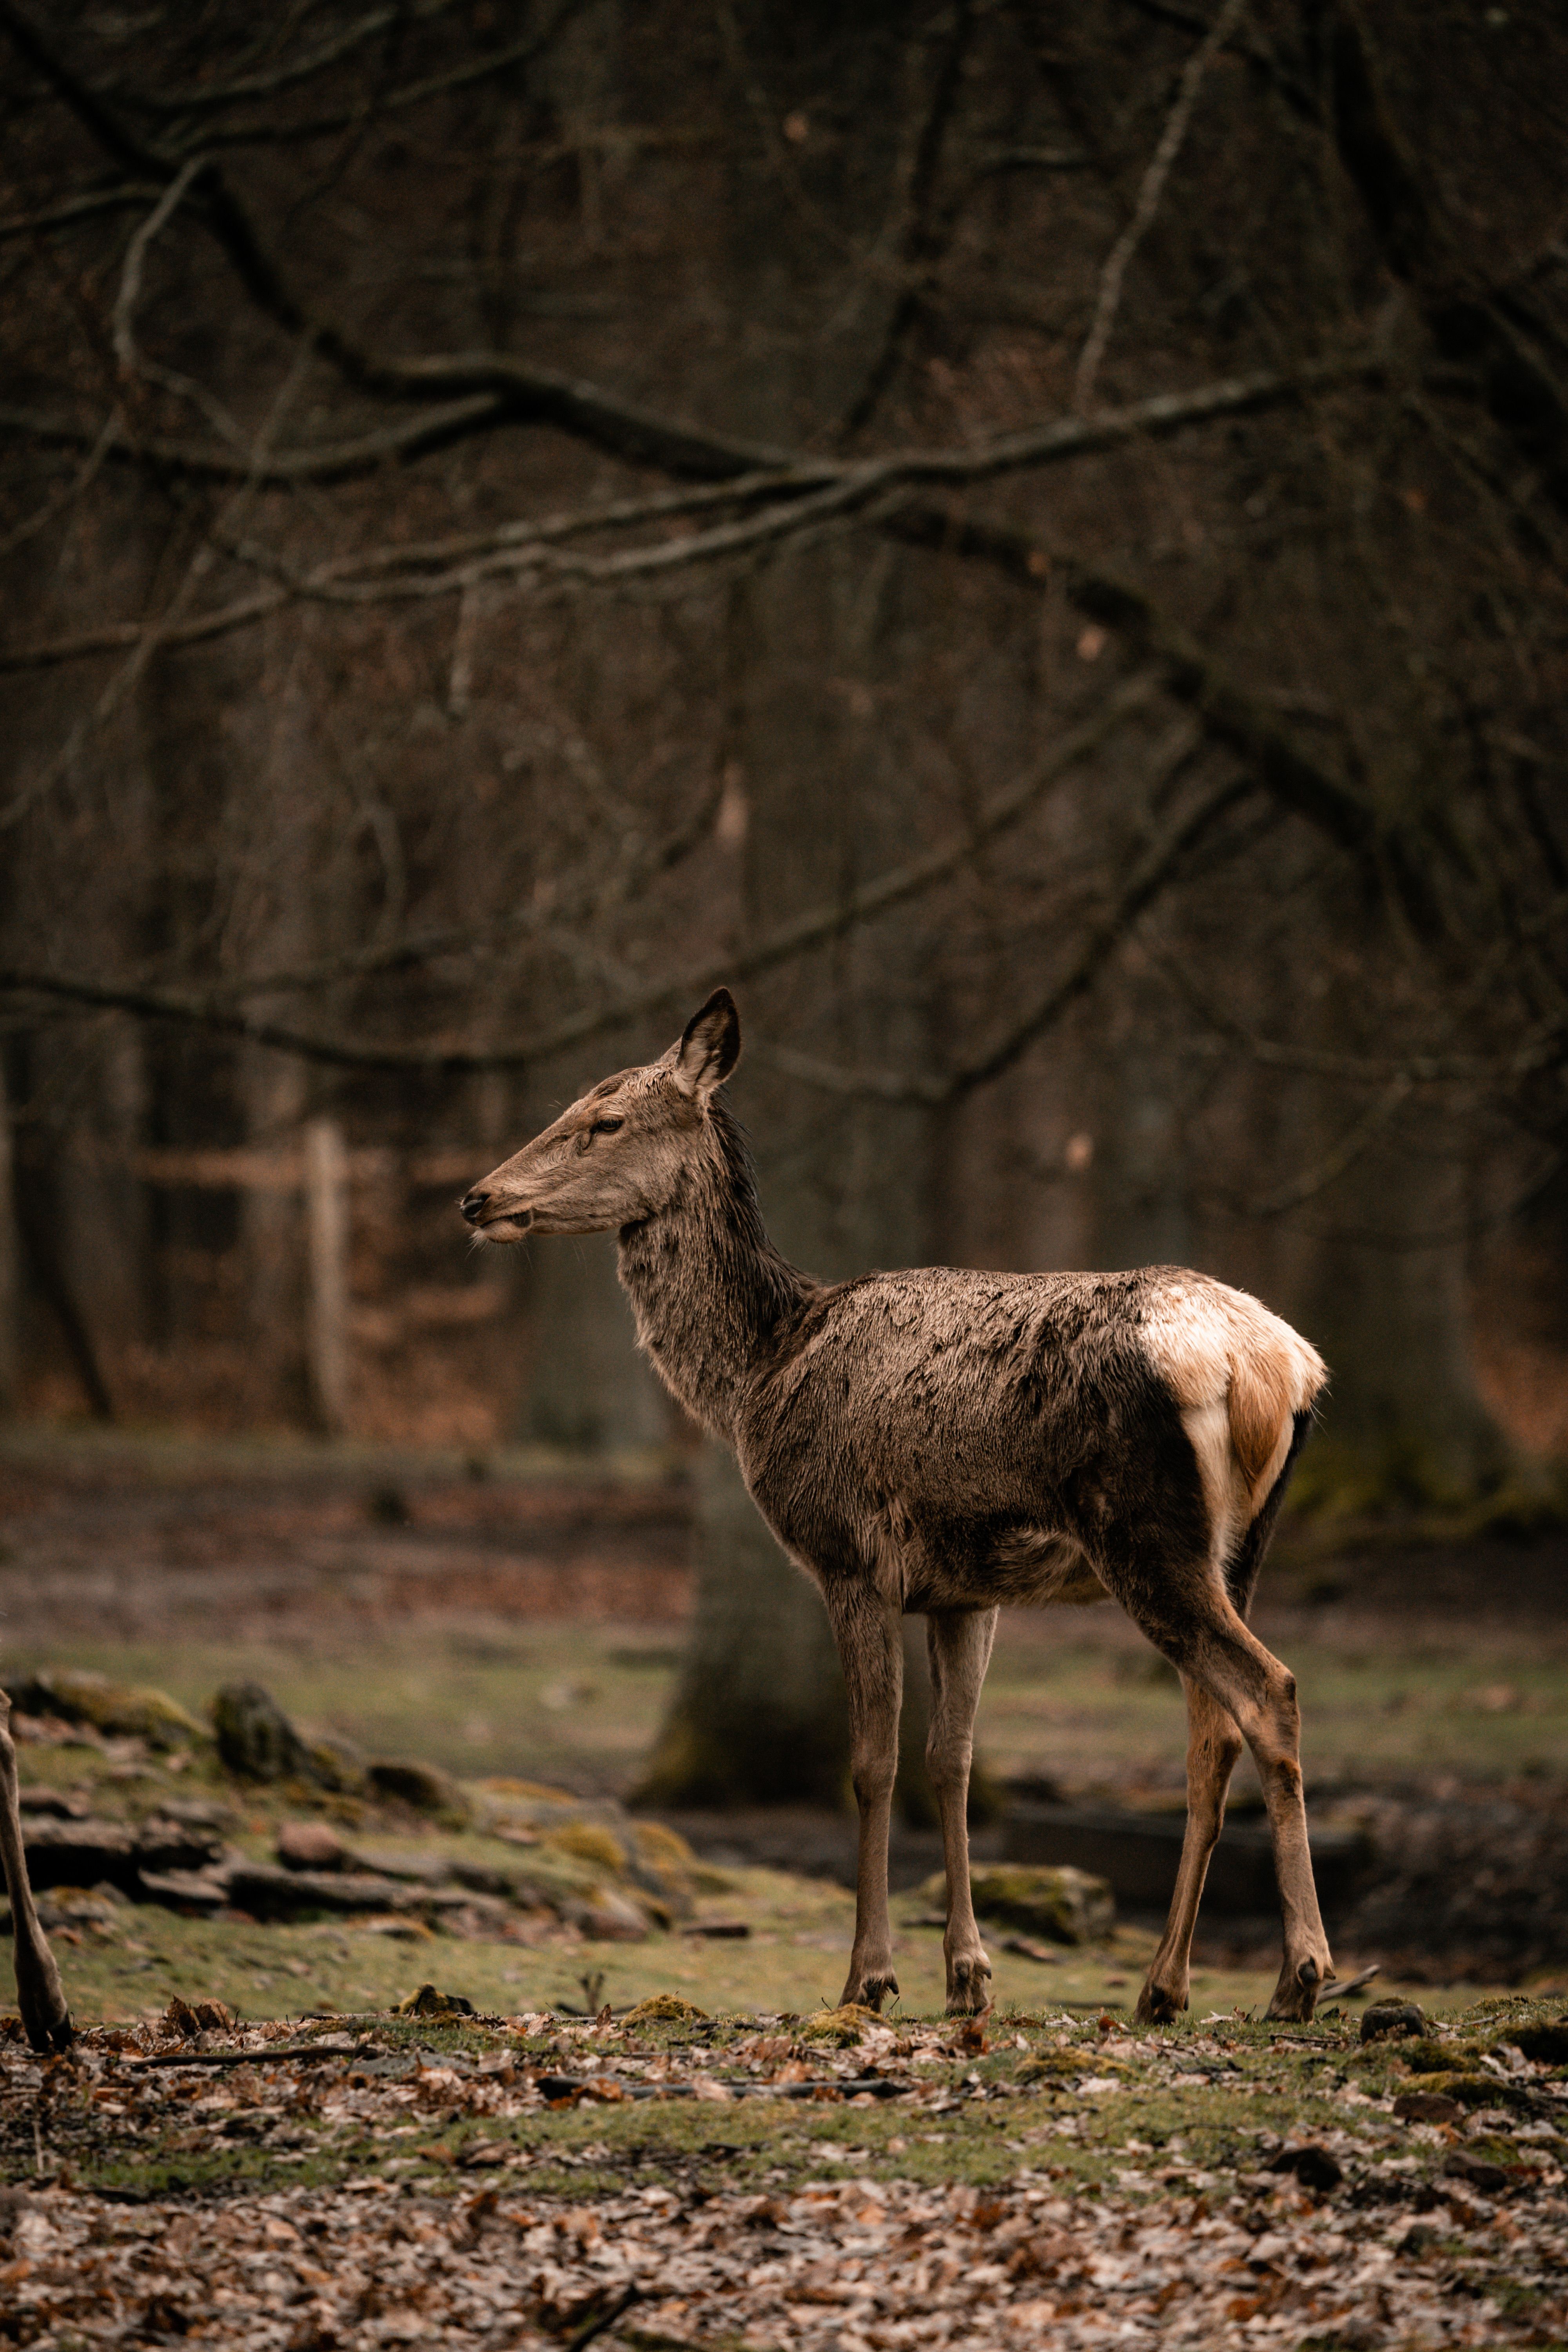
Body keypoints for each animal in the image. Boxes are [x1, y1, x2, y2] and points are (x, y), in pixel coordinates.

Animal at [462, 988, 1334, 2024]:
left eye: (606, 1120)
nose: (477, 1198)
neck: (759, 1372)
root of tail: (1271, 1367)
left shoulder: (849, 1557)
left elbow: (870, 1765)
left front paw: (868, 1976)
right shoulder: (966, 1591)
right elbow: (948, 1762)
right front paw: (967, 1976)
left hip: (1142, 1532)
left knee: (1267, 1690)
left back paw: (1299, 1974)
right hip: (1240, 1544)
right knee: (1211, 1732)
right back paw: (1163, 1985)